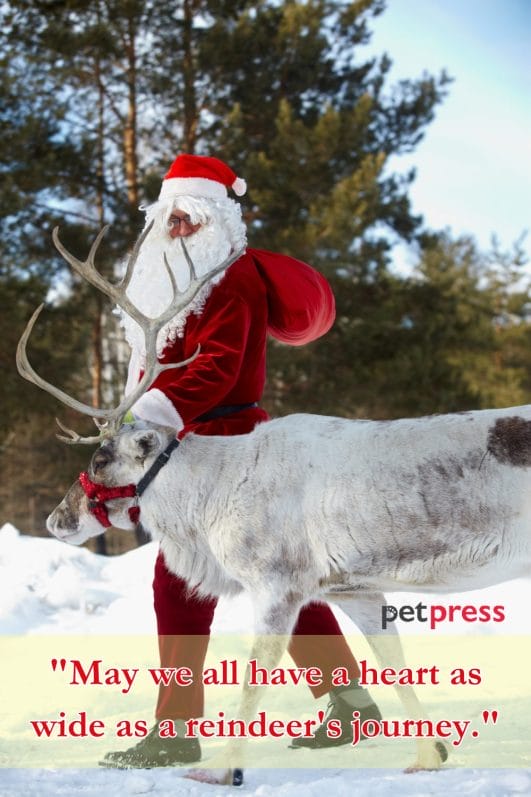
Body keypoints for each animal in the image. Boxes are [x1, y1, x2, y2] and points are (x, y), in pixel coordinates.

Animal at [17, 226, 531, 787]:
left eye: (100, 457)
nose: (56, 519)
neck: (209, 492)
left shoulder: (277, 581)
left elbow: (253, 681)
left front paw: (221, 771)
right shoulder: (354, 587)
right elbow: (393, 663)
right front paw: (429, 754)